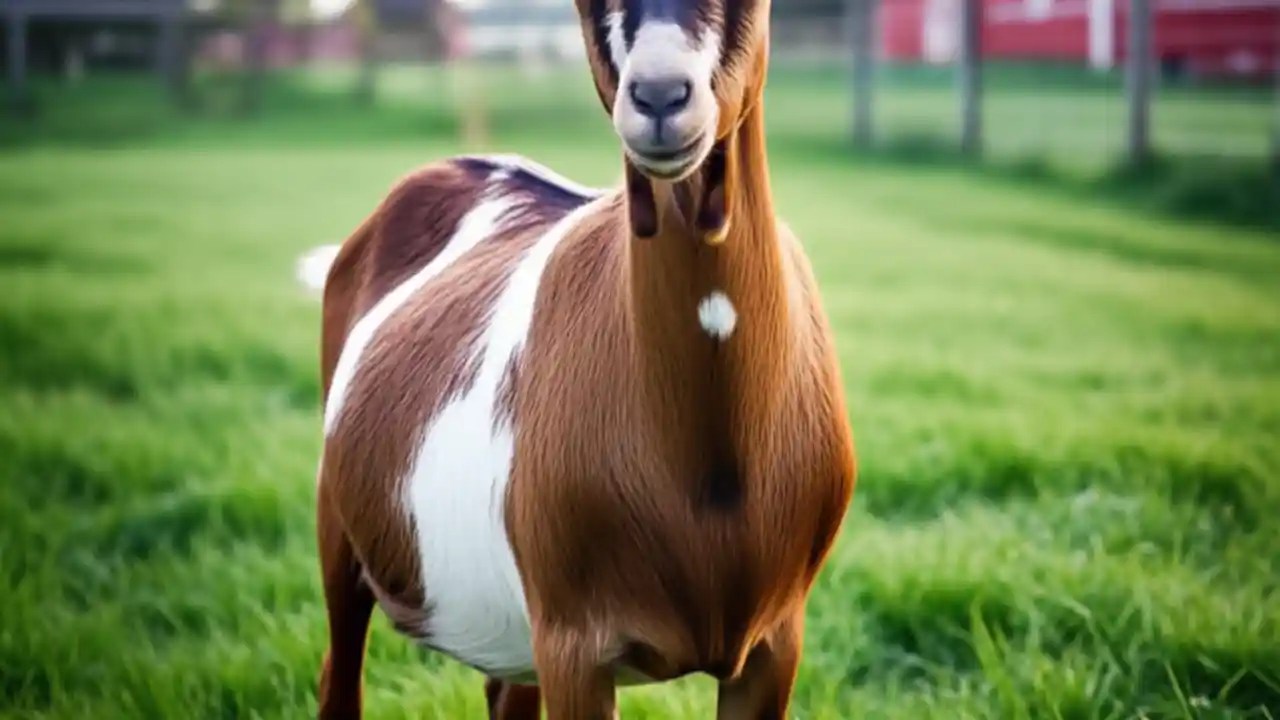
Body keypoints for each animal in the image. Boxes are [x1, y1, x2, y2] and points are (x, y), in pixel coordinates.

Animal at [303, 1, 856, 717]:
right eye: (584, 5)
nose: (658, 96)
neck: (711, 474)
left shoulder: (774, 642)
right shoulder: (574, 645)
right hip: (338, 523)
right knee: (339, 673)